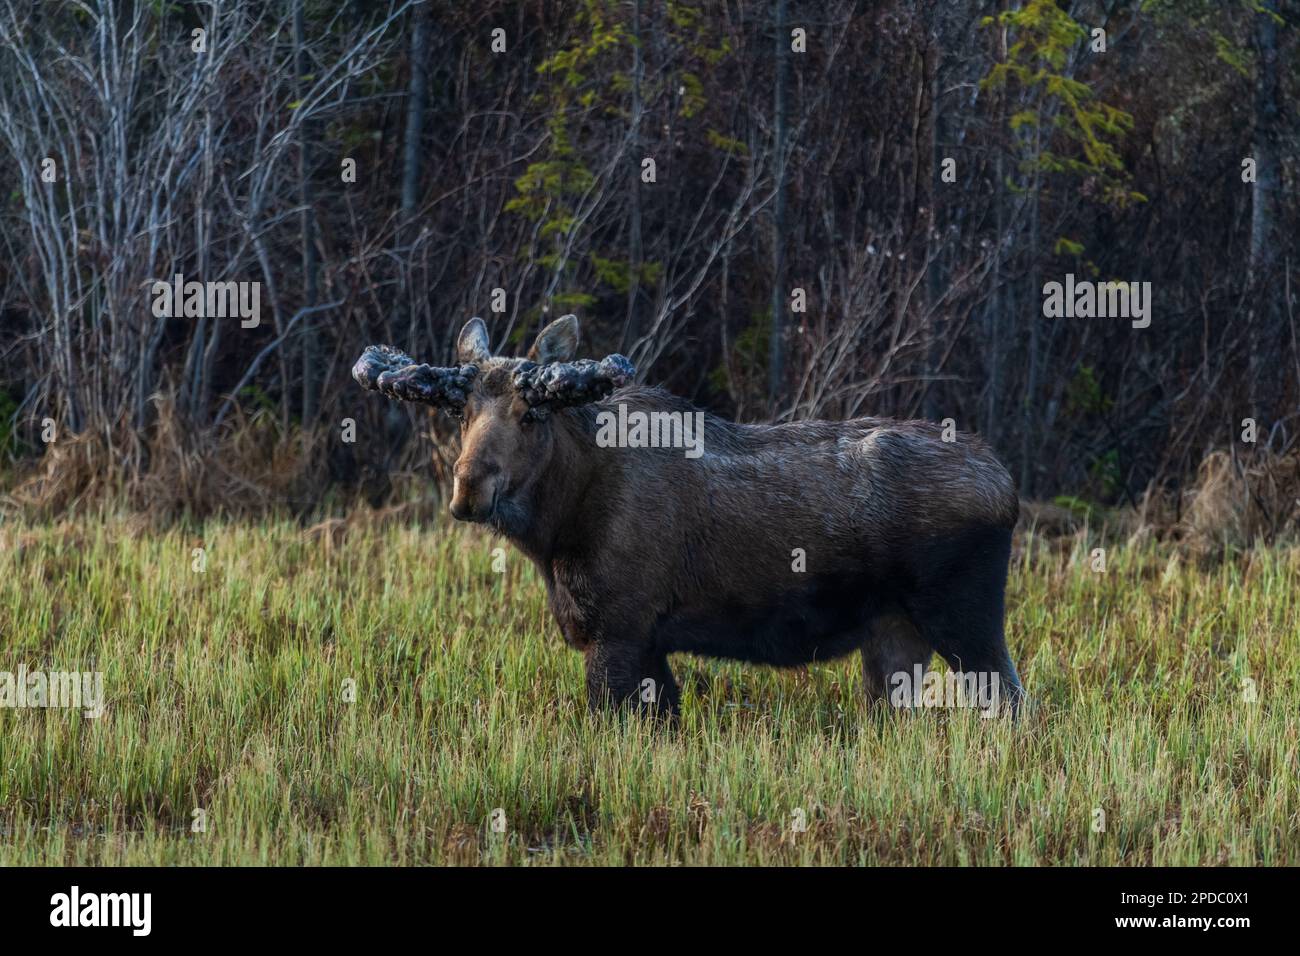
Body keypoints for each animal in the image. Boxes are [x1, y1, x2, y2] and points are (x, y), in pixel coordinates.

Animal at [354, 315, 1025, 719]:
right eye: (460, 411)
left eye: (531, 413)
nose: (469, 488)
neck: (555, 532)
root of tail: (1008, 486)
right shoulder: (647, 642)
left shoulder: (619, 632)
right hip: (894, 632)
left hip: (965, 620)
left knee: (1015, 703)